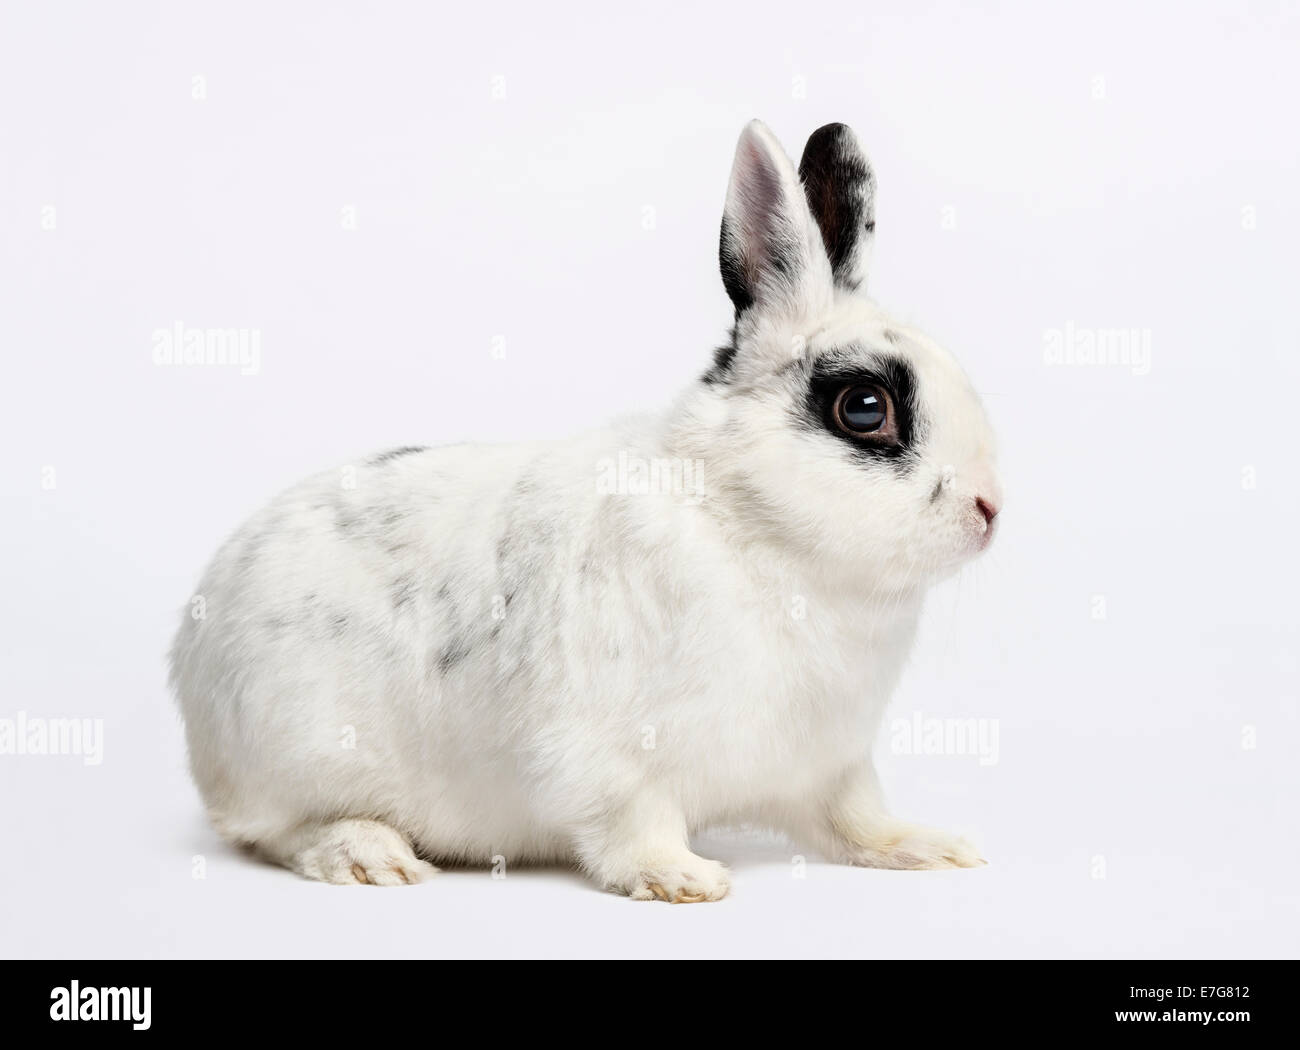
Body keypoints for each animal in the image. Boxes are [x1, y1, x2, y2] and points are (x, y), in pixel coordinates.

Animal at [170, 116, 1003, 904]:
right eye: (864, 408)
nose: (990, 510)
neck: (752, 522)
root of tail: (192, 650)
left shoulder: (832, 764)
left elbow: (856, 818)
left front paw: (932, 849)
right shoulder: (615, 762)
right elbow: (633, 827)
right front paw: (683, 881)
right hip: (302, 751)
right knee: (278, 831)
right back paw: (371, 857)